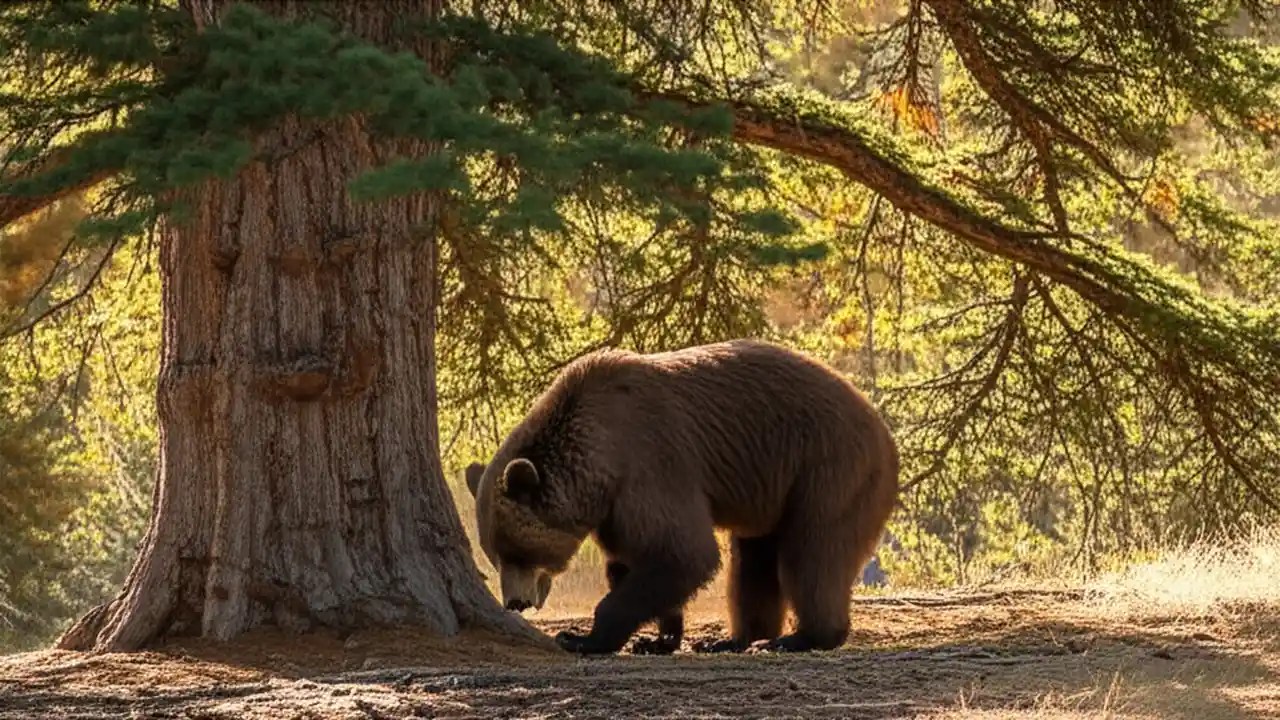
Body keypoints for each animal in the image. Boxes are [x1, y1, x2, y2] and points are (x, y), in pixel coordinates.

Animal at [465, 339, 899, 655]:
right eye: (493, 552)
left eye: (517, 551)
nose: (514, 603)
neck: (598, 459)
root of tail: (882, 431)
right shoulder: (615, 505)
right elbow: (638, 560)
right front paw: (659, 637)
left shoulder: (650, 464)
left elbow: (683, 551)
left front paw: (581, 637)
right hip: (772, 493)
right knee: (754, 560)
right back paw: (731, 639)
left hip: (826, 467)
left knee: (813, 550)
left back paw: (803, 637)